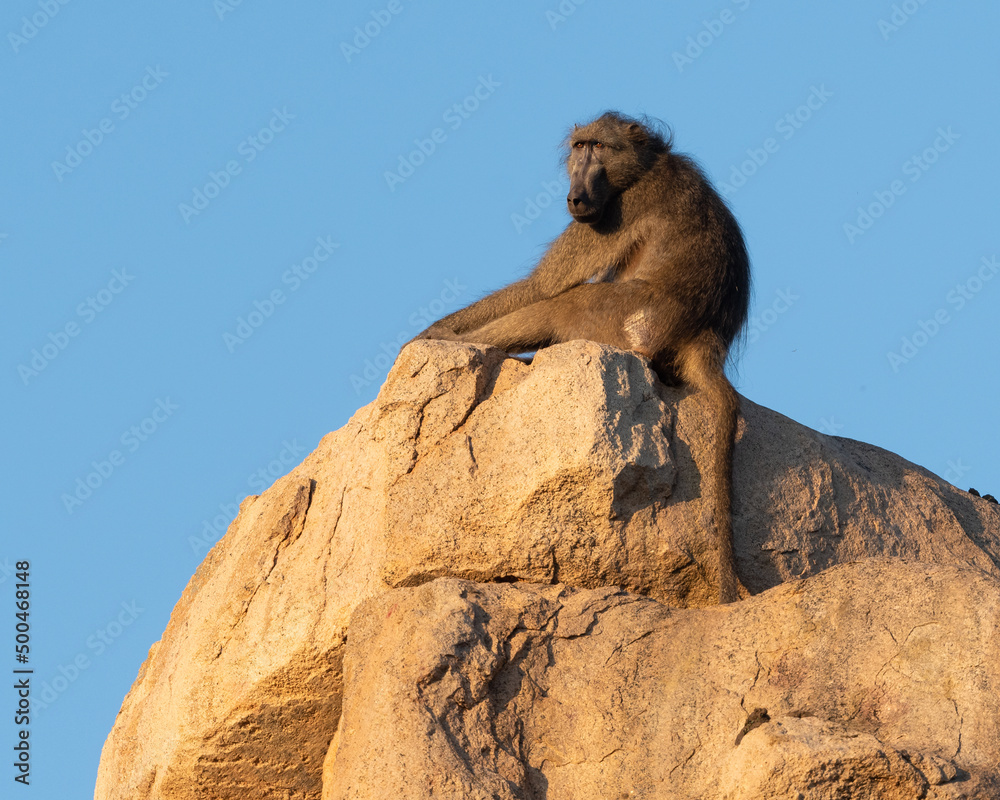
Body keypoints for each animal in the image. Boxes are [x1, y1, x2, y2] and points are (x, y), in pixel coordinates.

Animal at [411, 111, 751, 603]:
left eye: (599, 148)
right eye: (580, 147)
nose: (576, 194)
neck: (646, 165)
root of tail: (702, 338)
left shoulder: (619, 209)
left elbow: (541, 287)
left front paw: (433, 333)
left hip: (616, 317)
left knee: (561, 303)